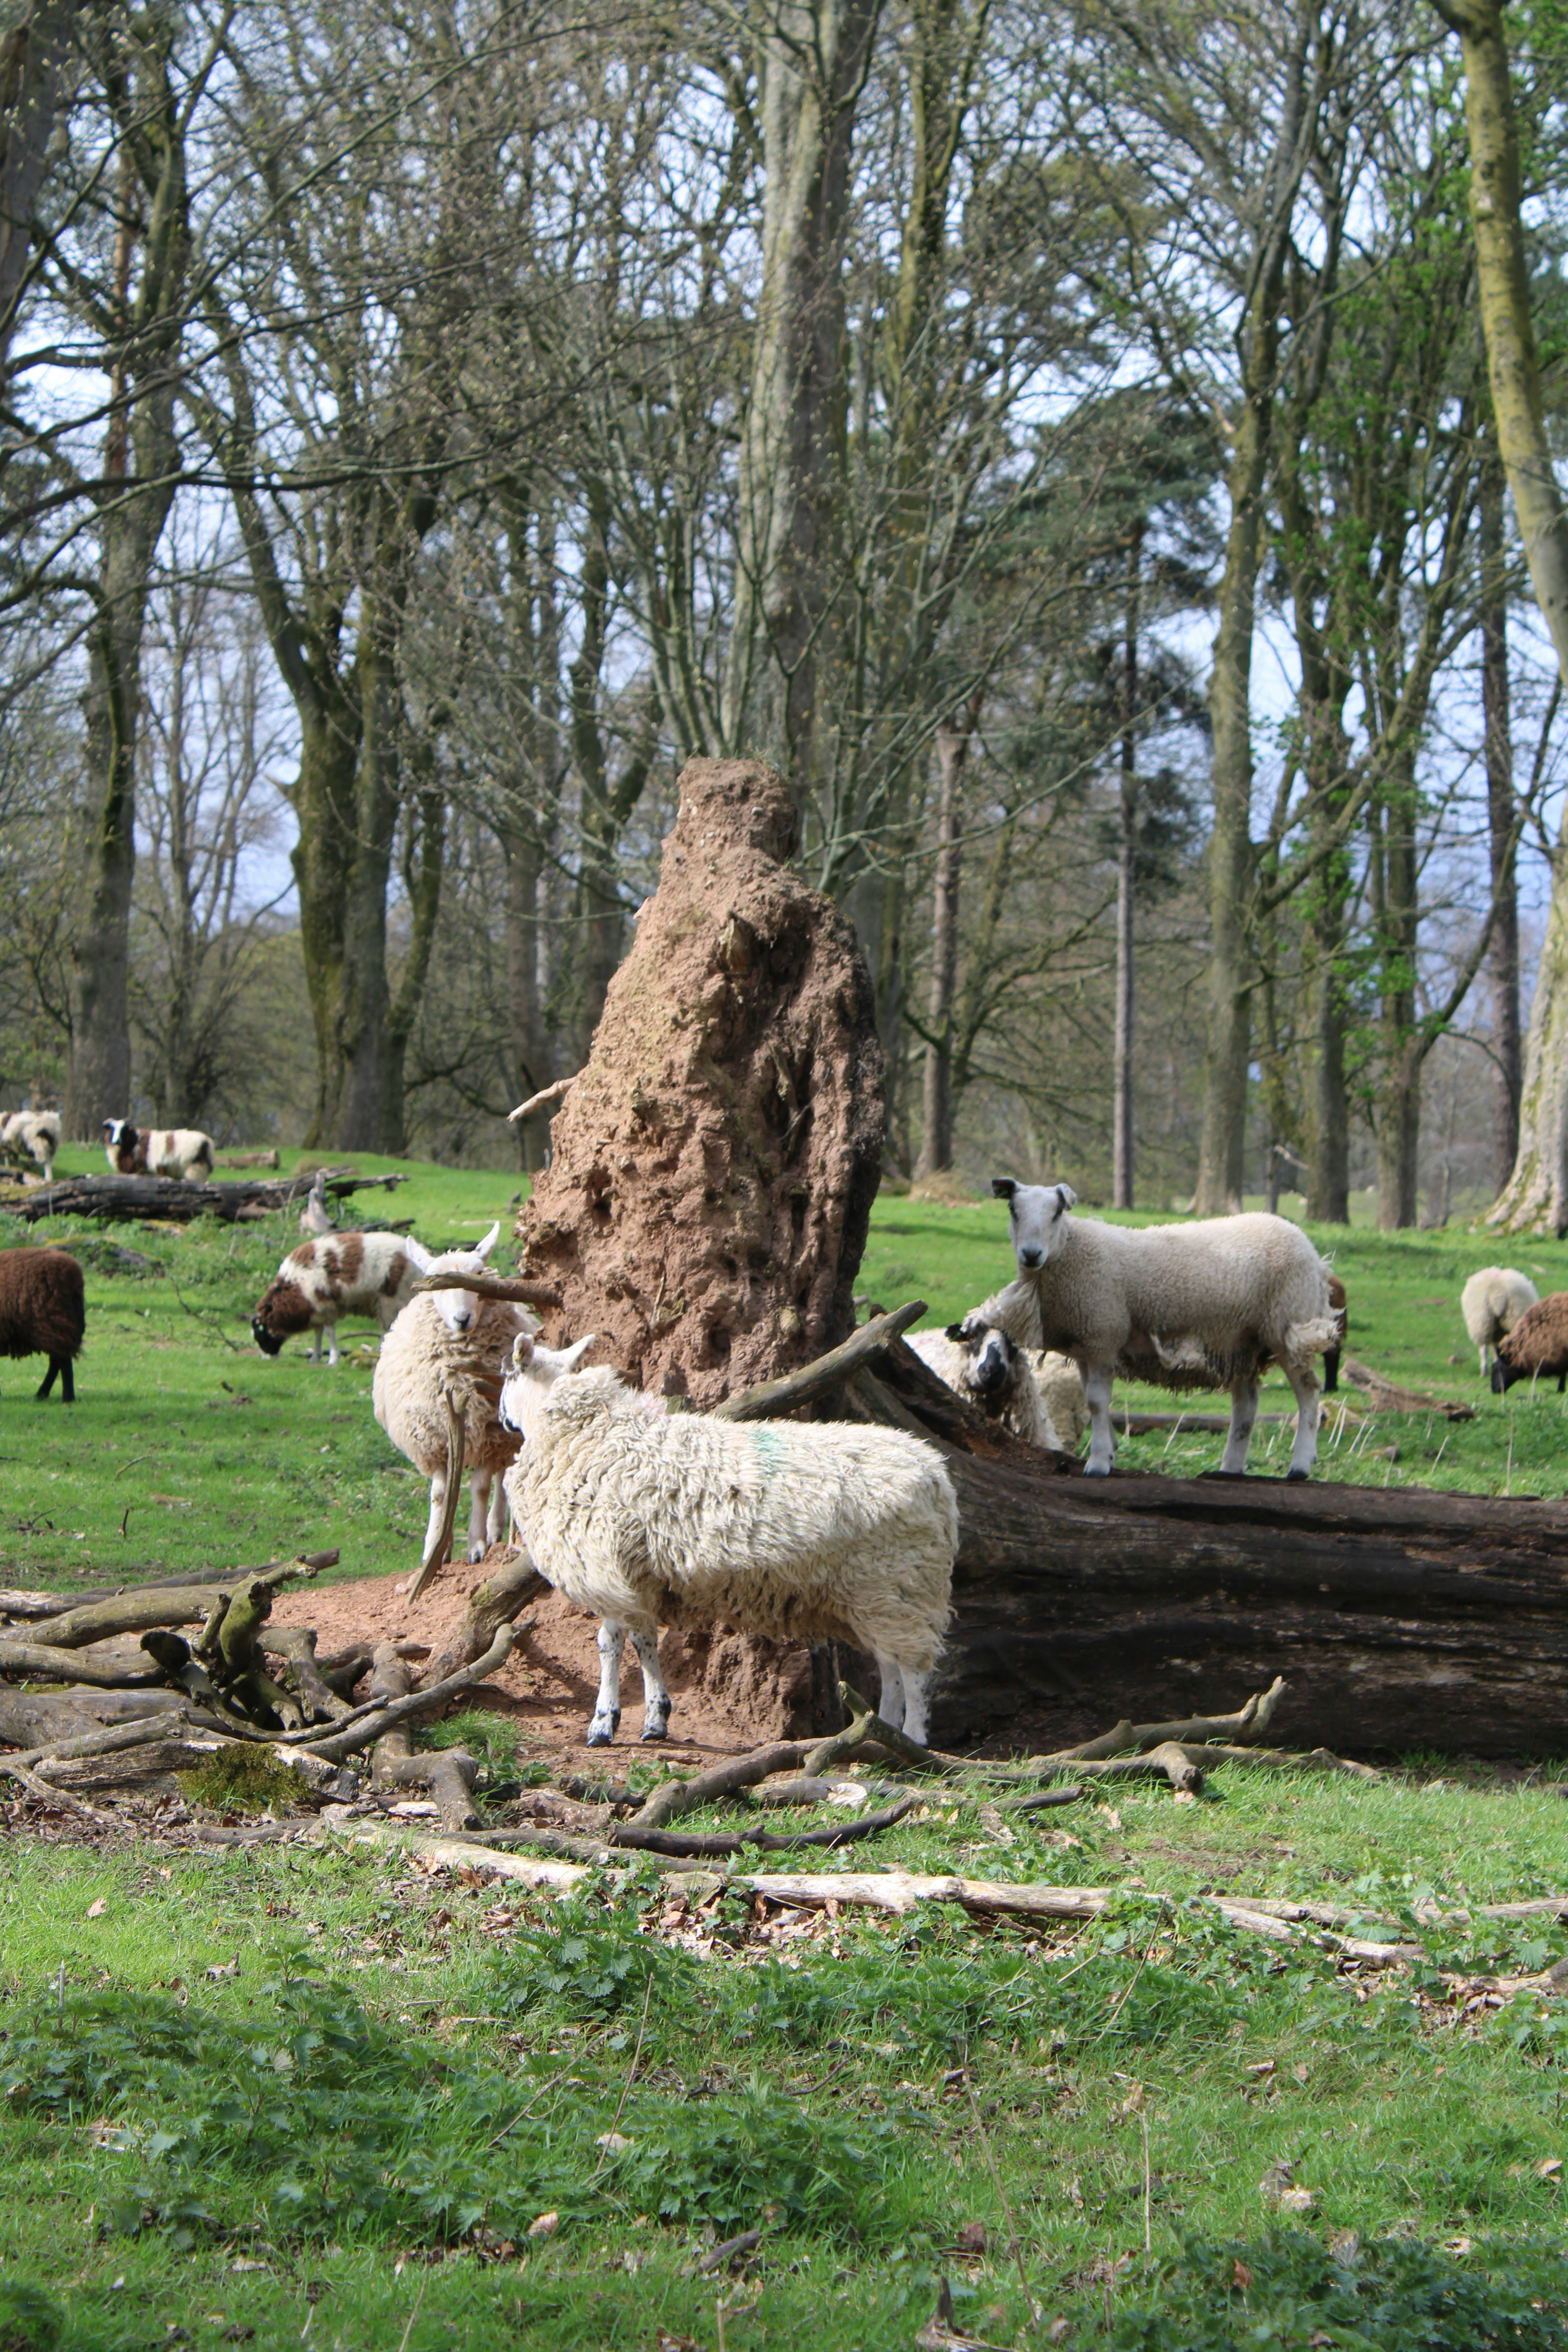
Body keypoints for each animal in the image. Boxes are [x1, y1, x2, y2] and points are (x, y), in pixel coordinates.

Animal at [102, 1119, 215, 1180]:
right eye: (112, 1129)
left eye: (124, 1130)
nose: (116, 1141)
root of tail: (207, 1142)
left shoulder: (138, 1171)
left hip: (194, 1171)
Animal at [252, 1230, 430, 1367]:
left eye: (260, 1333)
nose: (266, 1357)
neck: (295, 1288)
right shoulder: (317, 1309)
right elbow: (318, 1333)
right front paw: (315, 1358)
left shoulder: (326, 1305)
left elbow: (329, 1333)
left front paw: (333, 1359)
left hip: (391, 1298)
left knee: (388, 1328)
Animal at [373, 1223, 537, 1569]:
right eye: (436, 1285)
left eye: (479, 1276)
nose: (462, 1320)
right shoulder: (433, 1438)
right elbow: (440, 1494)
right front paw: (434, 1549)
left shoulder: (489, 1435)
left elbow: (480, 1489)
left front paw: (476, 1545)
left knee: (503, 1479)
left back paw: (495, 1529)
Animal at [499, 1332, 959, 1748]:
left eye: (507, 1374)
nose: (502, 1418)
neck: (585, 1432)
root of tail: (936, 1472)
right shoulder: (635, 1577)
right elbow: (643, 1642)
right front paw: (655, 1719)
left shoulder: (603, 1568)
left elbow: (609, 1646)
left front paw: (603, 1723)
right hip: (880, 1594)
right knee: (891, 1664)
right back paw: (881, 1731)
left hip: (899, 1578)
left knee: (915, 1670)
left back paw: (913, 1740)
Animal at [981, 1179, 1339, 1480]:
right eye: (1013, 1210)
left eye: (1056, 1213)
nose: (1031, 1254)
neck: (1072, 1250)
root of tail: (1307, 1245)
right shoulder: (1088, 1344)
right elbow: (1093, 1401)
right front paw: (1109, 1451)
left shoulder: (1103, 1334)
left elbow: (1096, 1402)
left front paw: (1098, 1463)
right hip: (1239, 1339)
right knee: (1247, 1401)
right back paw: (1231, 1468)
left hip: (1290, 1321)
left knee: (1308, 1391)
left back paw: (1300, 1465)